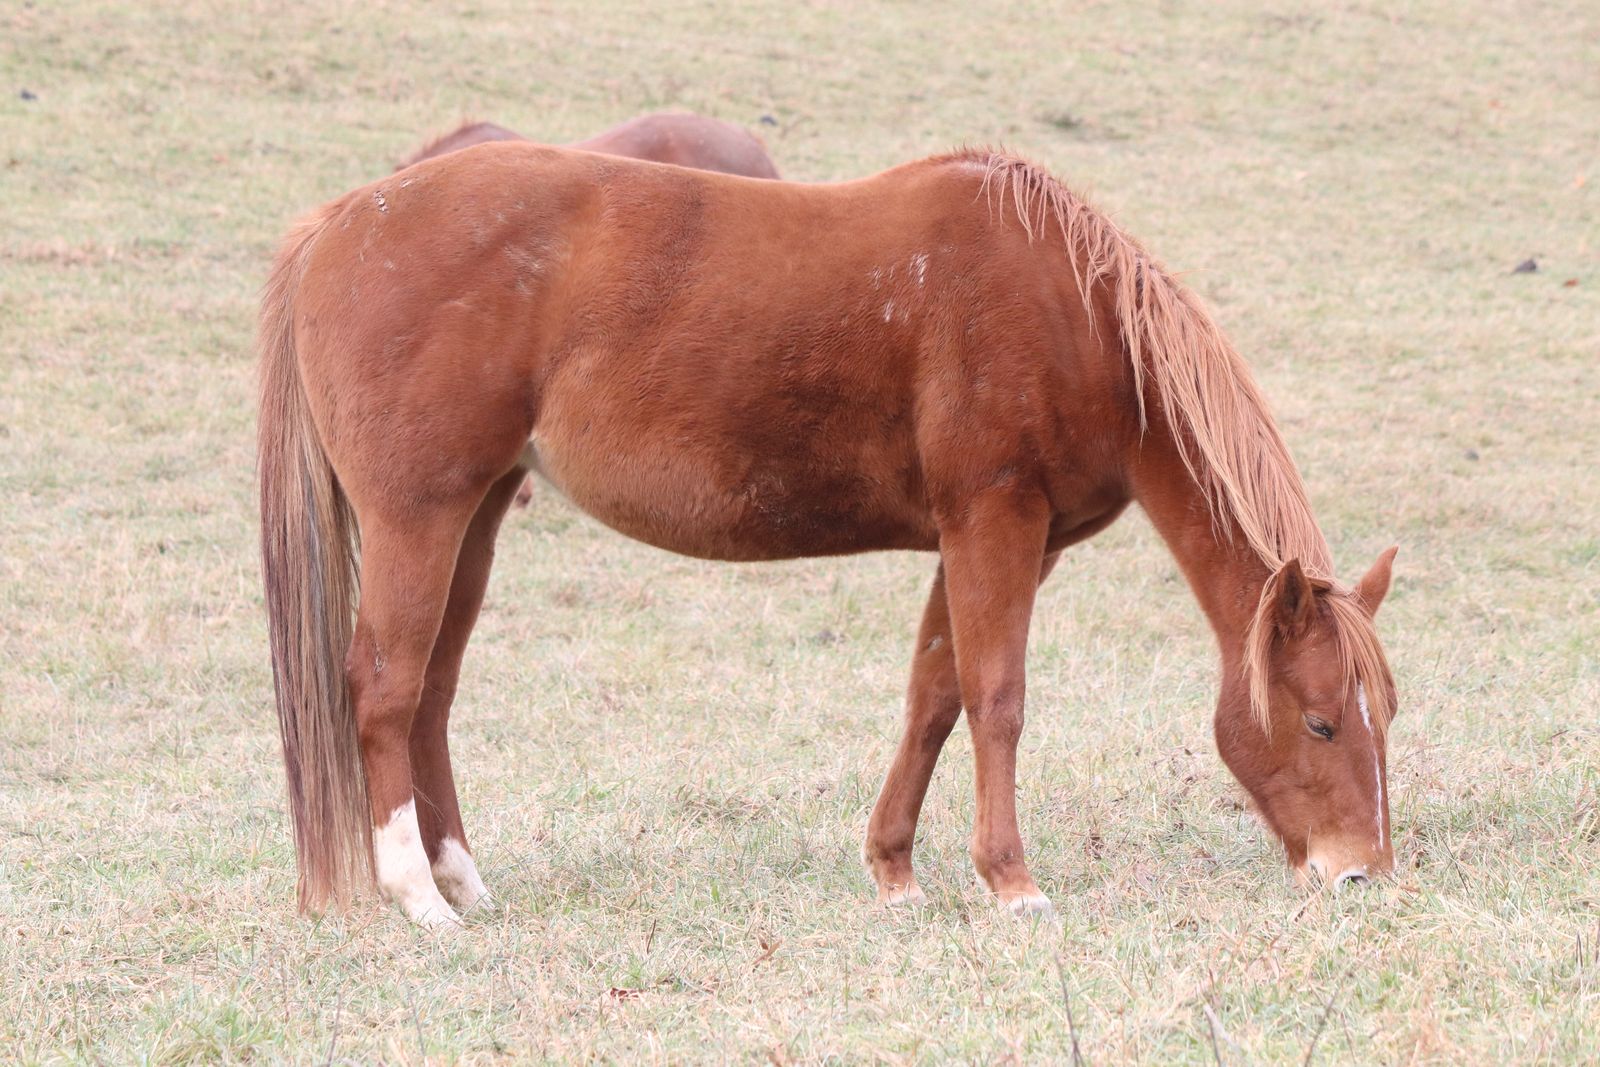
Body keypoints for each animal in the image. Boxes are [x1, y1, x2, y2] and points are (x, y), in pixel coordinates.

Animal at [258, 143, 1400, 928]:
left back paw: (463, 878)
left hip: (479, 512)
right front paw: (1013, 882)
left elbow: (935, 695)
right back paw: (418, 895)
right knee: (385, 687)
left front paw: (895, 868)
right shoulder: (996, 519)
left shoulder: (983, 537)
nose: (1361, 873)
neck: (1077, 314)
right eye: (1320, 723)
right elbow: (996, 698)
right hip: (418, 517)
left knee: (432, 692)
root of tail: (339, 223)